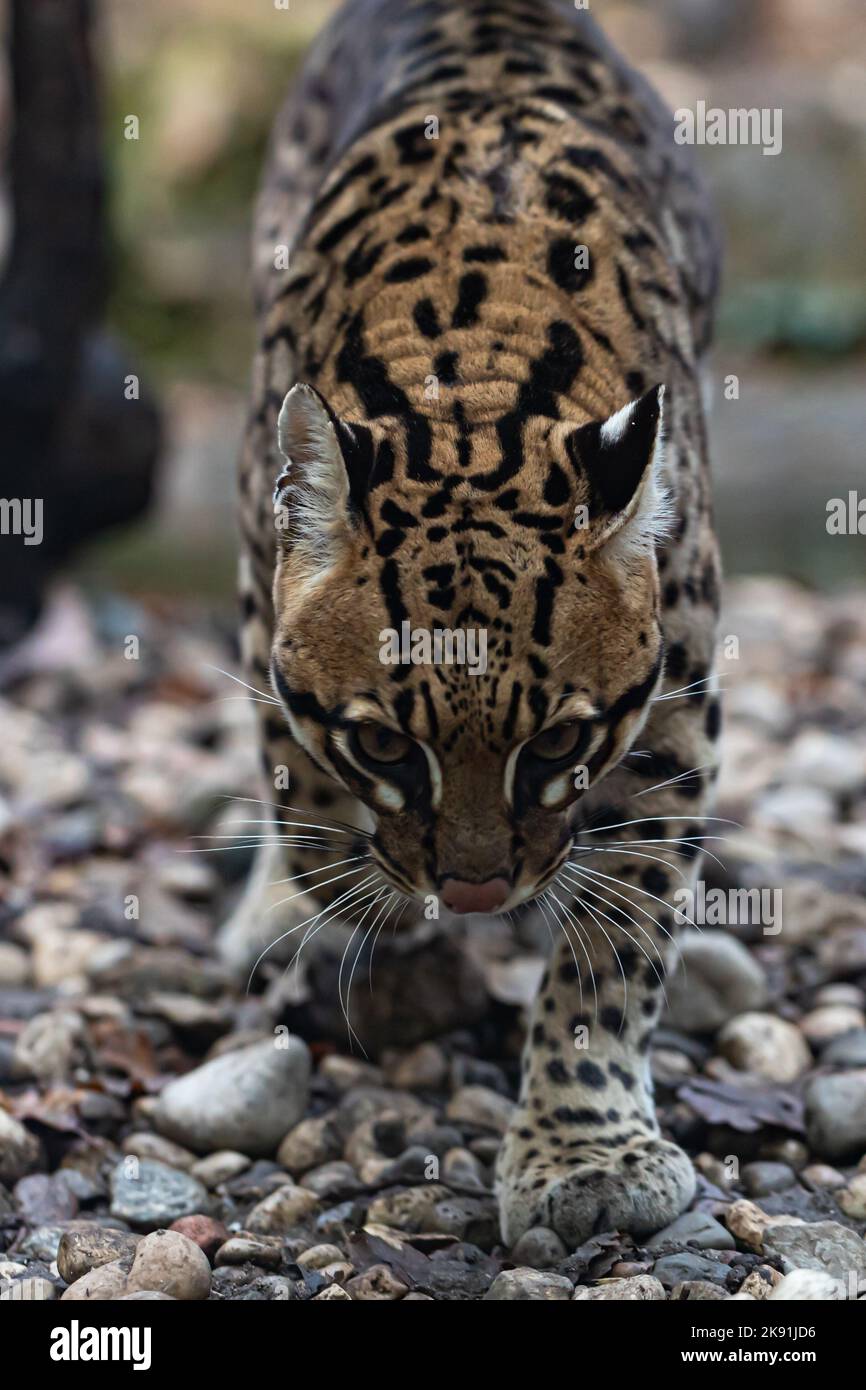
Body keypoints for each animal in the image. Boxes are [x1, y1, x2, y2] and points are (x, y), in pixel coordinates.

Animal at [224, 0, 723, 1250]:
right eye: (384, 742)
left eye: (557, 743)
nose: (478, 894)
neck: (471, 400)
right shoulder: (261, 572)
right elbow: (299, 777)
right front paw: (348, 891)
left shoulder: (677, 689)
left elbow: (619, 936)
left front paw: (584, 1151)